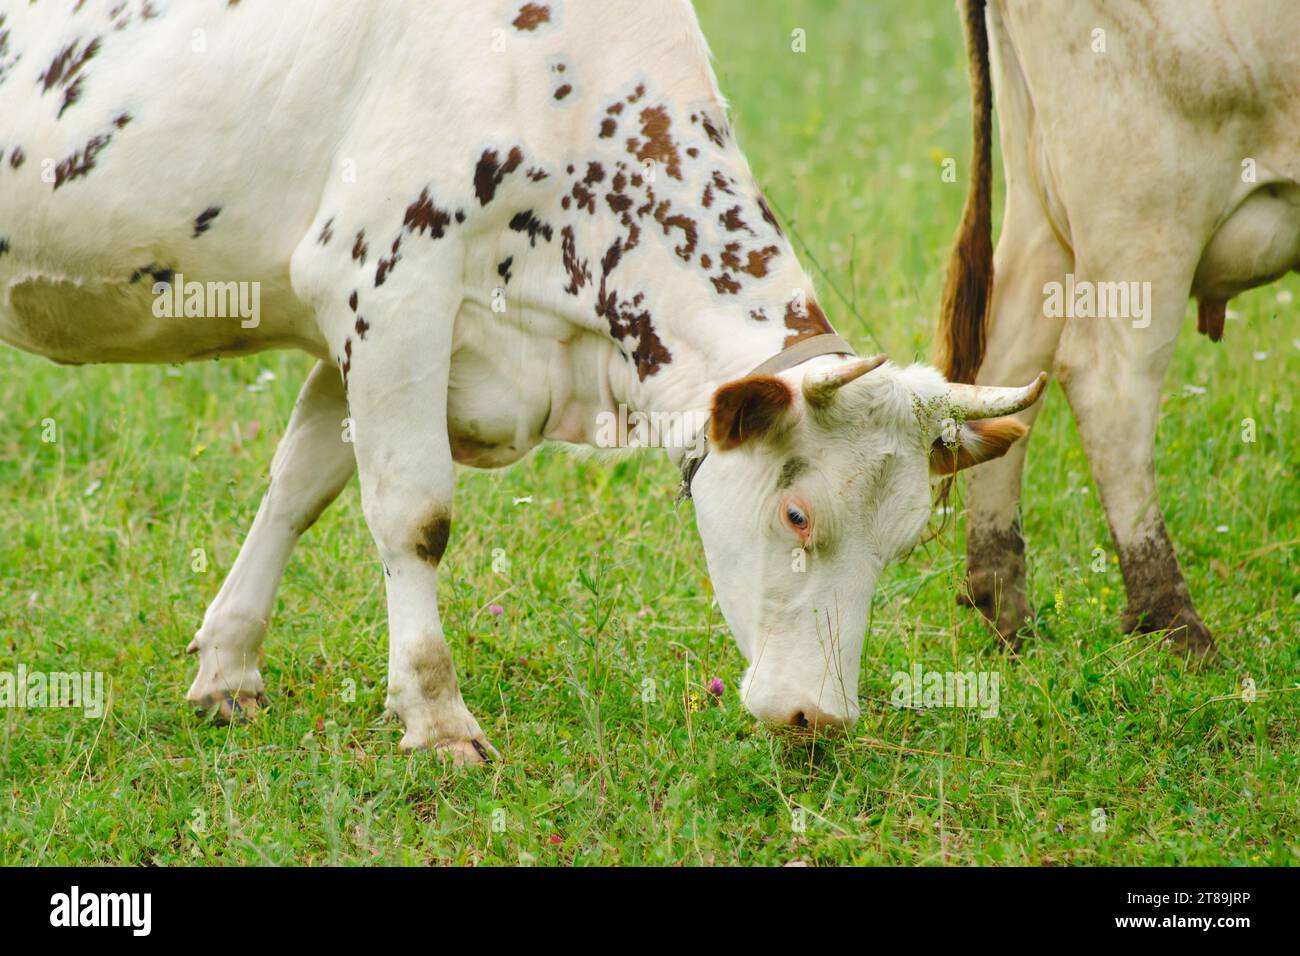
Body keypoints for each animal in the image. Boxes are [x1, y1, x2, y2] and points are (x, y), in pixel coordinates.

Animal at [0, 0, 1043, 762]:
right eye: (797, 514)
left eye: (903, 541)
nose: (817, 716)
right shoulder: (386, 284)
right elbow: (415, 517)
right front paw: (436, 721)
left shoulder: (365, 338)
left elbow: (299, 488)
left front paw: (228, 671)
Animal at [938, 0, 1299, 658]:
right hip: (1146, 210)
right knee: (1108, 383)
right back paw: (1174, 621)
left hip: (1043, 209)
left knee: (1007, 362)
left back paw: (1004, 607)